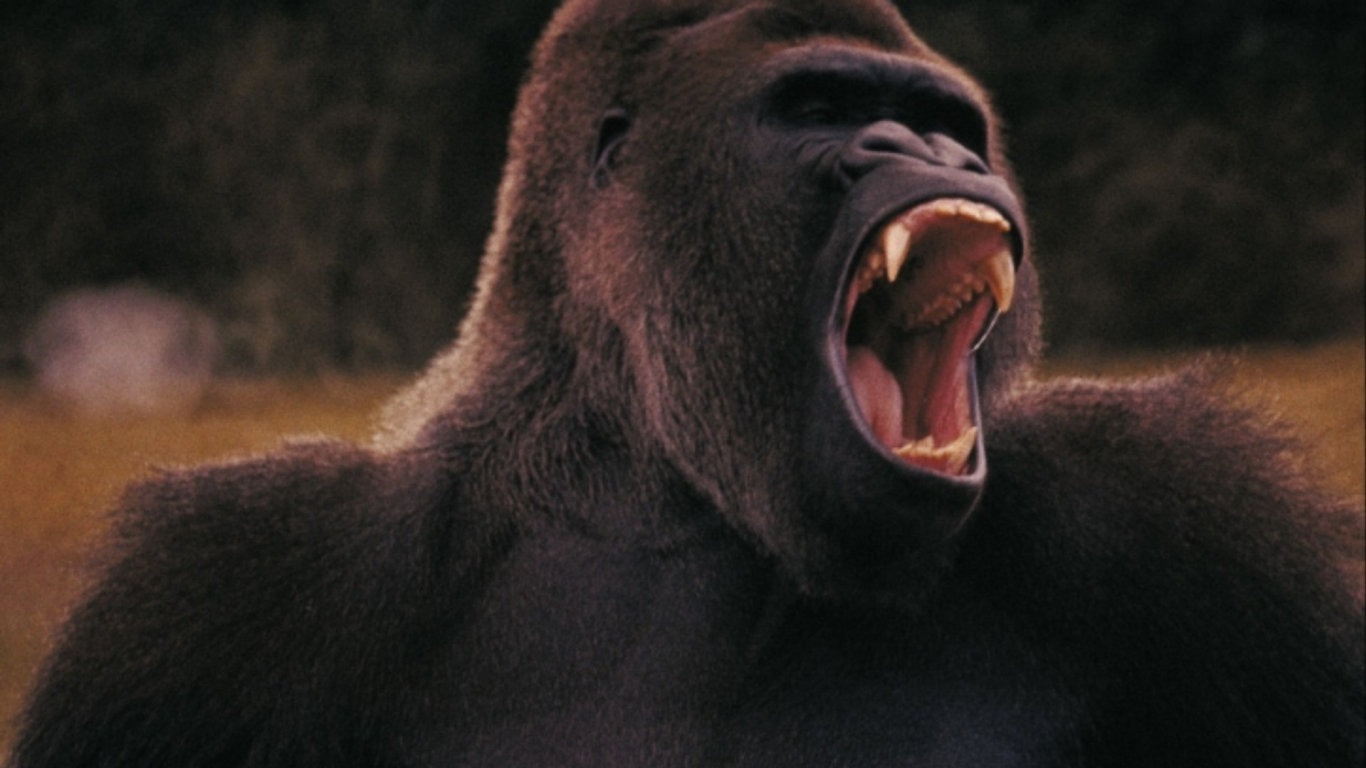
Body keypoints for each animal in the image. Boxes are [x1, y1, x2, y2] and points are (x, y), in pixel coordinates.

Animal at [9, 1, 1362, 766]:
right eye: (818, 106)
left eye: (946, 124)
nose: (923, 149)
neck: (655, 484)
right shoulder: (217, 598)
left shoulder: (1180, 521)